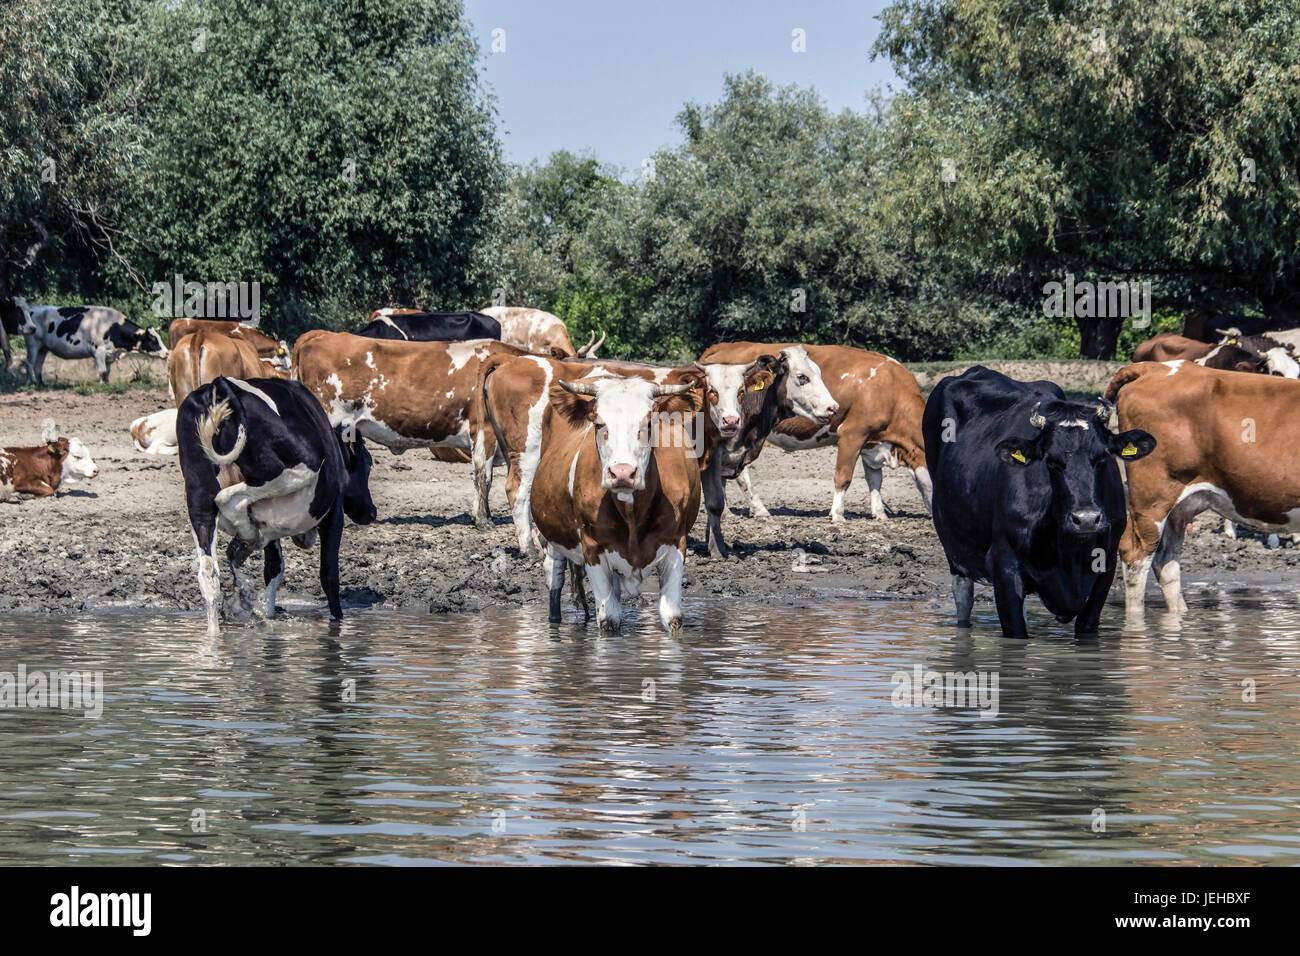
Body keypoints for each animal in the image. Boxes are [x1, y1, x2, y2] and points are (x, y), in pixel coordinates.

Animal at [15, 303, 167, 384]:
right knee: (29, 363)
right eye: (153, 340)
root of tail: (32, 309)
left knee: (38, 366)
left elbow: (107, 371)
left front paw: (107, 383)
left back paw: (41, 383)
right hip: (33, 344)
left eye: (159, 337)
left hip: (43, 348)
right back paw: (31, 382)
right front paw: (101, 384)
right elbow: (102, 370)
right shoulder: (98, 350)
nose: (166, 353)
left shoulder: (109, 354)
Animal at [177, 376, 376, 633]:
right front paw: (337, 620)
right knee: (228, 499)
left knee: (208, 574)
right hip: (295, 468)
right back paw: (244, 545)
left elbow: (273, 569)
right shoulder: (334, 513)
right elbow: (329, 574)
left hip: (198, 496)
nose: (371, 511)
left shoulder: (271, 527)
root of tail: (220, 384)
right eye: (368, 463)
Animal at [530, 371, 708, 633]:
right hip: (553, 534)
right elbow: (609, 619)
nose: (622, 473)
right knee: (554, 575)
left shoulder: (677, 542)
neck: (632, 513)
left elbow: (672, 616)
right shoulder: (592, 547)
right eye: (598, 424)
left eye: (648, 423)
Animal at [699, 342, 930, 523]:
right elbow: (843, 477)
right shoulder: (852, 434)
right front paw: (837, 514)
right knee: (739, 474)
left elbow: (875, 479)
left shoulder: (871, 442)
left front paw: (880, 513)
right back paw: (754, 509)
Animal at [924, 366, 1156, 639]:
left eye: (1102, 457)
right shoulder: (1004, 564)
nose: (1086, 519)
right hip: (955, 550)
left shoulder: (1106, 566)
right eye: (1051, 461)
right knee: (963, 596)